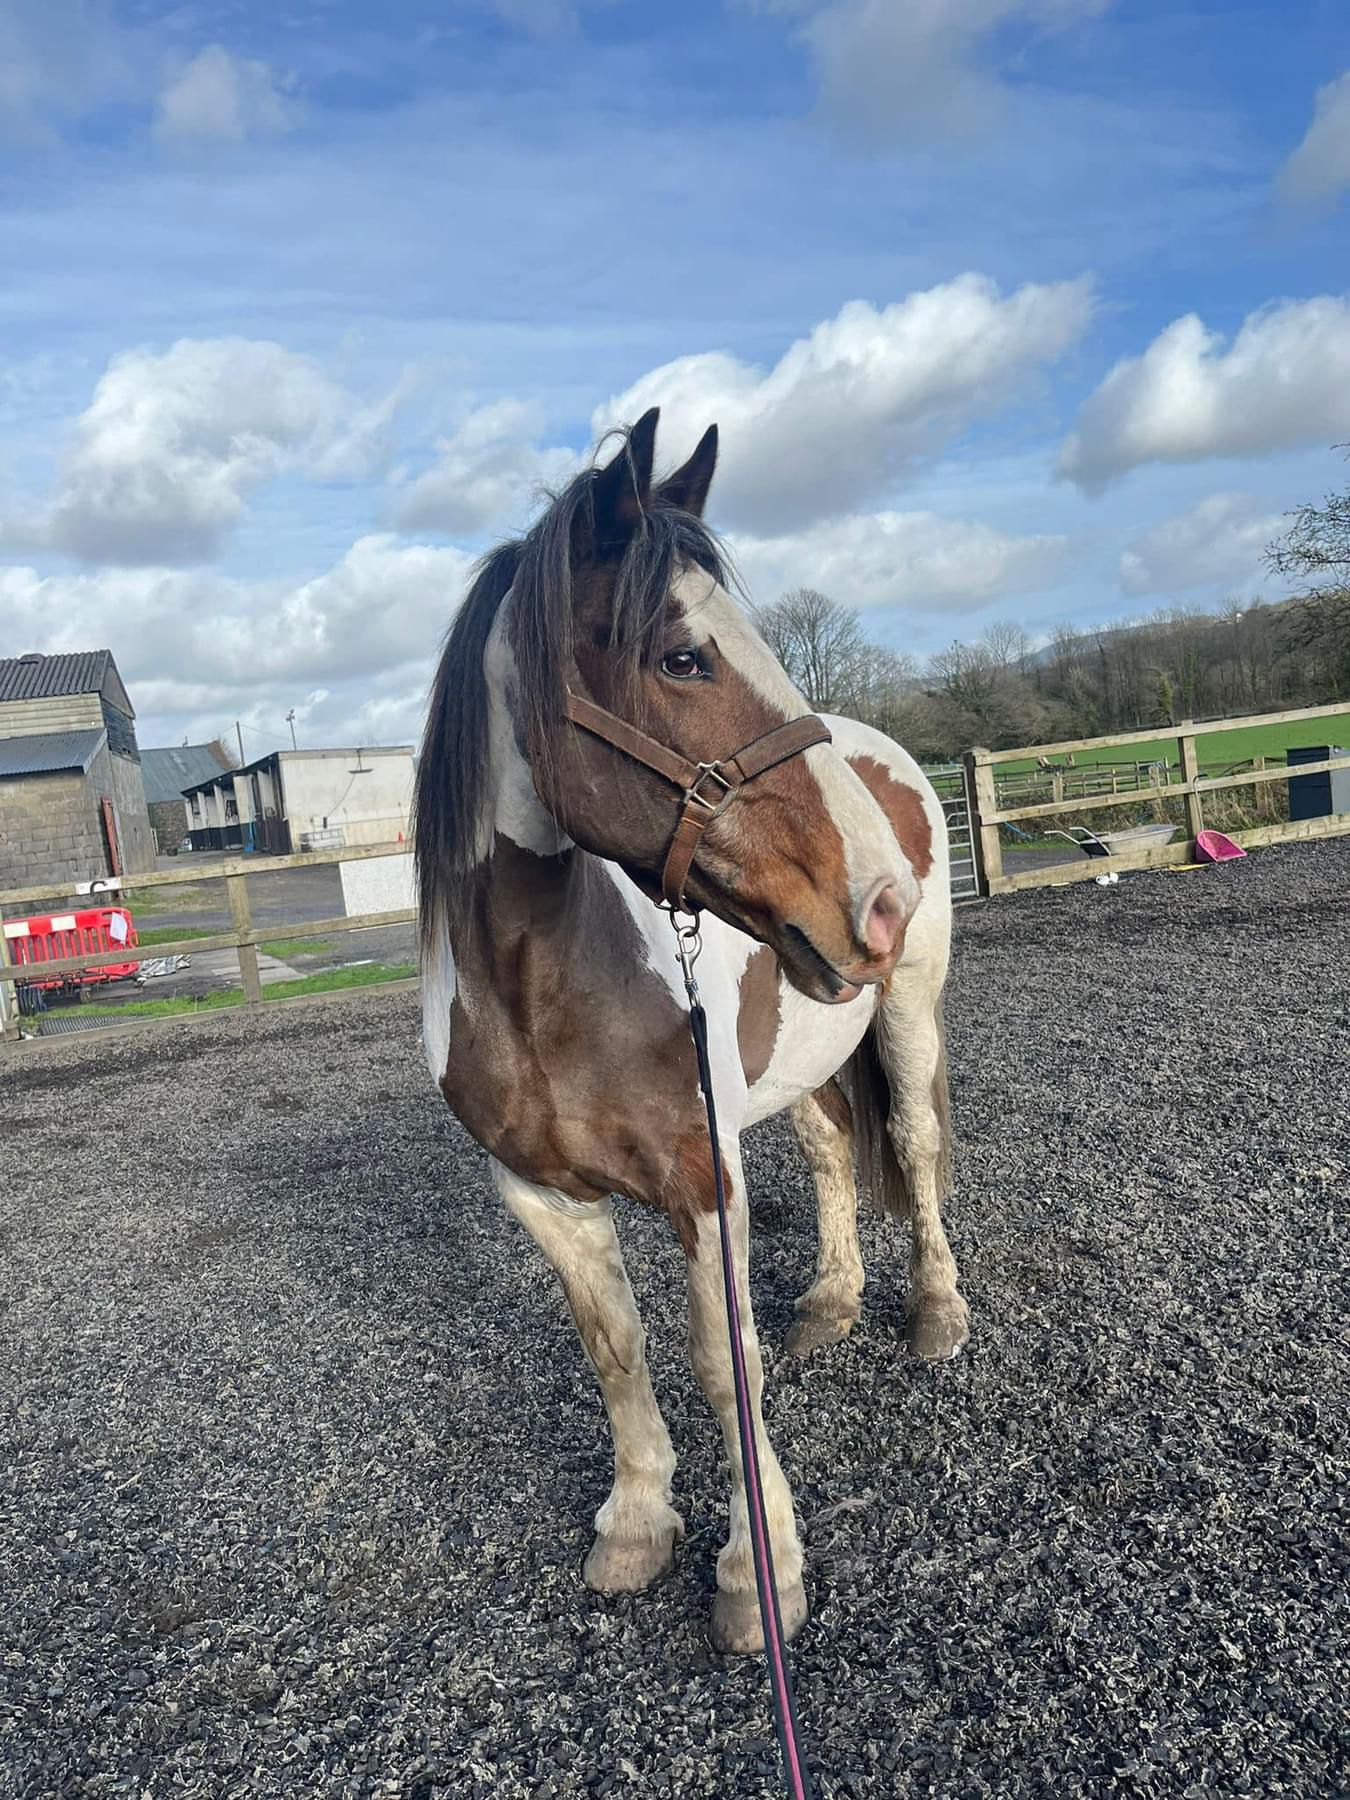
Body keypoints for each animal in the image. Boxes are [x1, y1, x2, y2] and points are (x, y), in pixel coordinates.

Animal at [413, 407, 969, 1654]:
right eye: (681, 658)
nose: (883, 901)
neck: (542, 990)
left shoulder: (701, 1183)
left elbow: (724, 1364)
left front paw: (757, 1572)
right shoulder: (544, 1197)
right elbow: (616, 1352)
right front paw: (636, 1523)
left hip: (905, 1017)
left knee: (914, 1146)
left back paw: (935, 1311)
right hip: (807, 1053)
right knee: (830, 1153)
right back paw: (832, 1303)